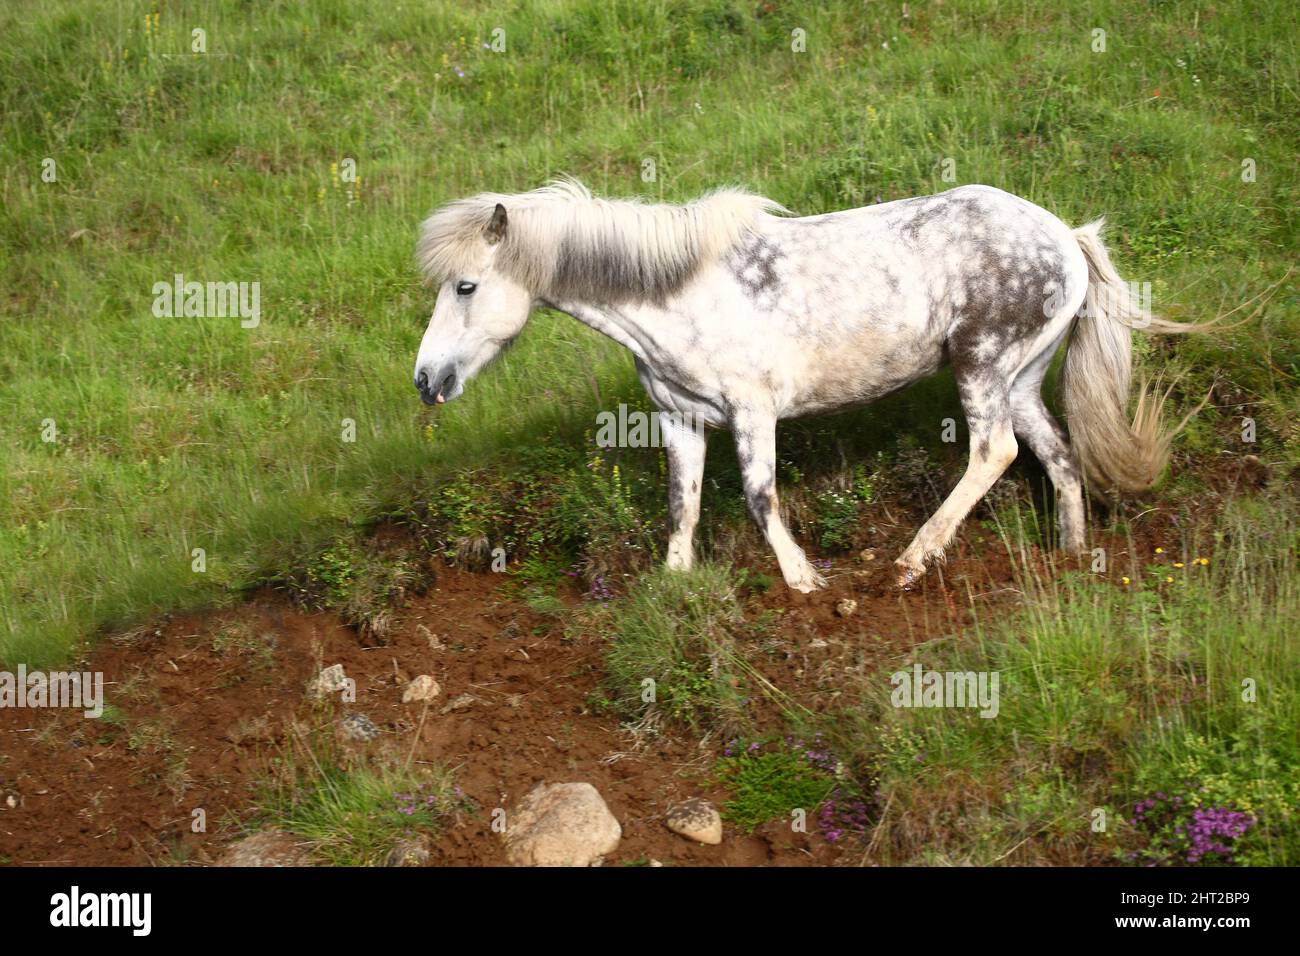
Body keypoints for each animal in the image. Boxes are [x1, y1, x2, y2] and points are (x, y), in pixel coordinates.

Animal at [412, 180, 1201, 592]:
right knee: (1058, 455)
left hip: (982, 367)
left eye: (465, 285)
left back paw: (912, 560)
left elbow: (760, 497)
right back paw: (1069, 554)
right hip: (1022, 378)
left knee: (994, 454)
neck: (674, 296)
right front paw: (676, 586)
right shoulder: (679, 419)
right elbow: (681, 505)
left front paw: (803, 582)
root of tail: (1066, 236)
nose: (425, 380)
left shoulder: (751, 412)